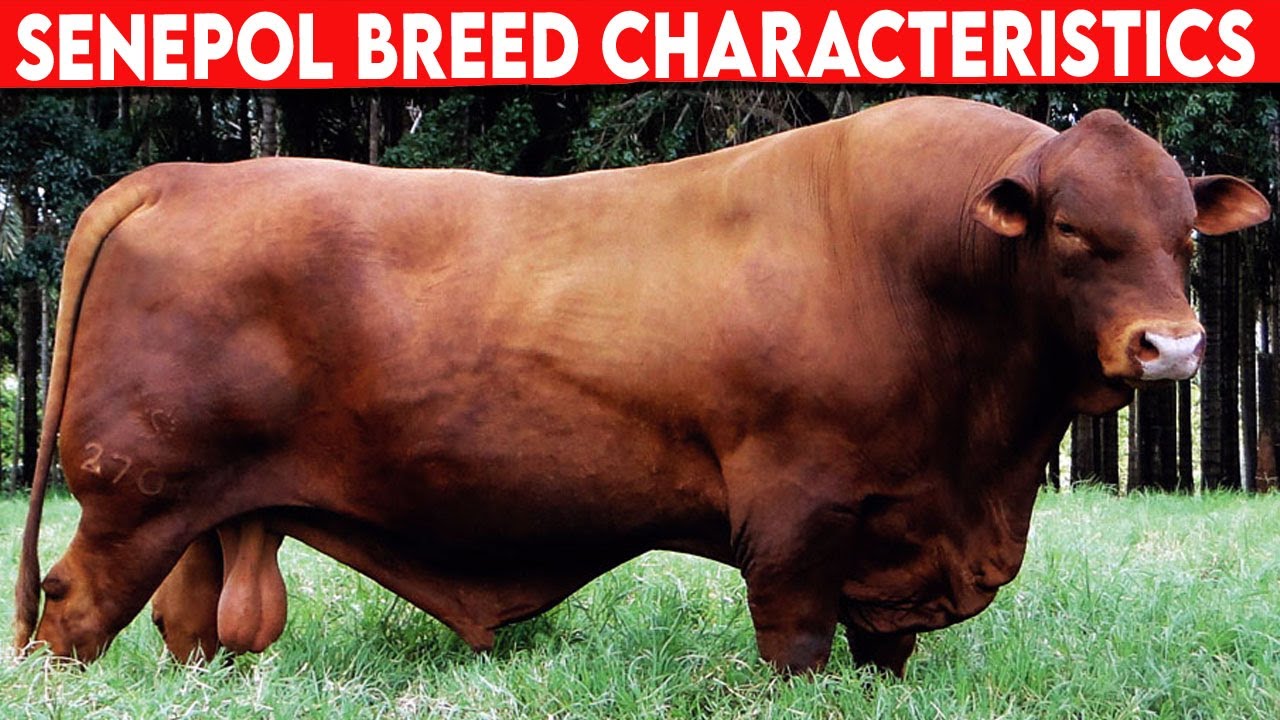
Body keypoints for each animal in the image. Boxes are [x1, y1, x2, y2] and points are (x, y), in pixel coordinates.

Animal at [13, 96, 1270, 677]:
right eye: (1070, 232)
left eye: (1183, 235)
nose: (1172, 349)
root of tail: (185, 175)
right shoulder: (796, 516)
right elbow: (794, 639)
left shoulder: (903, 532)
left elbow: (882, 648)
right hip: (133, 495)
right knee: (71, 608)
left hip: (208, 509)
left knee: (193, 619)